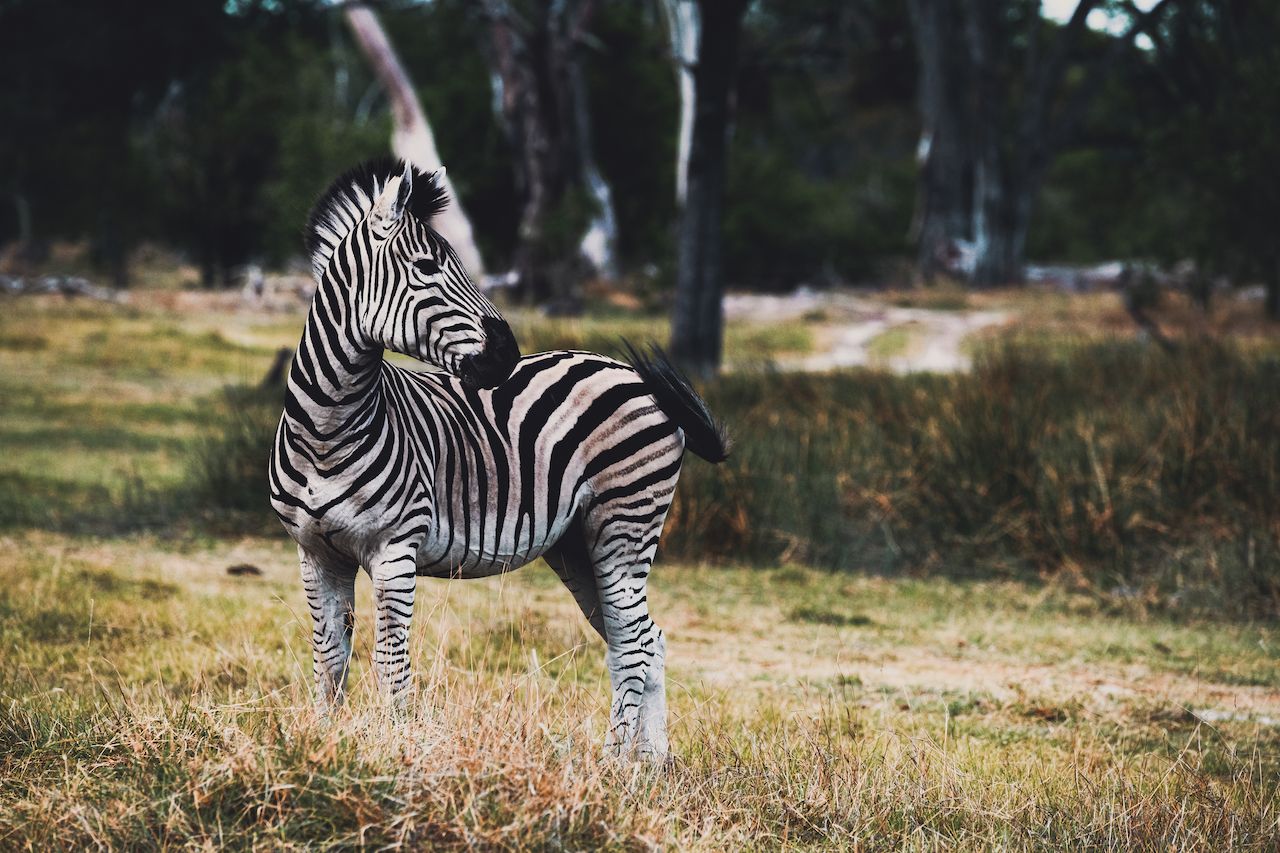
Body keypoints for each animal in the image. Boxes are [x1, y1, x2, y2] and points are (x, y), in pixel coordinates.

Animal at [269, 158, 728, 759]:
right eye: (425, 267)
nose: (508, 353)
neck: (326, 428)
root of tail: (635, 377)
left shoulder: (395, 550)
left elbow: (390, 664)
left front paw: (396, 750)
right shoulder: (315, 554)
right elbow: (330, 661)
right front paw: (321, 746)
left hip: (624, 526)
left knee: (631, 646)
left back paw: (612, 765)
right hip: (577, 546)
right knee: (646, 640)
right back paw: (648, 766)